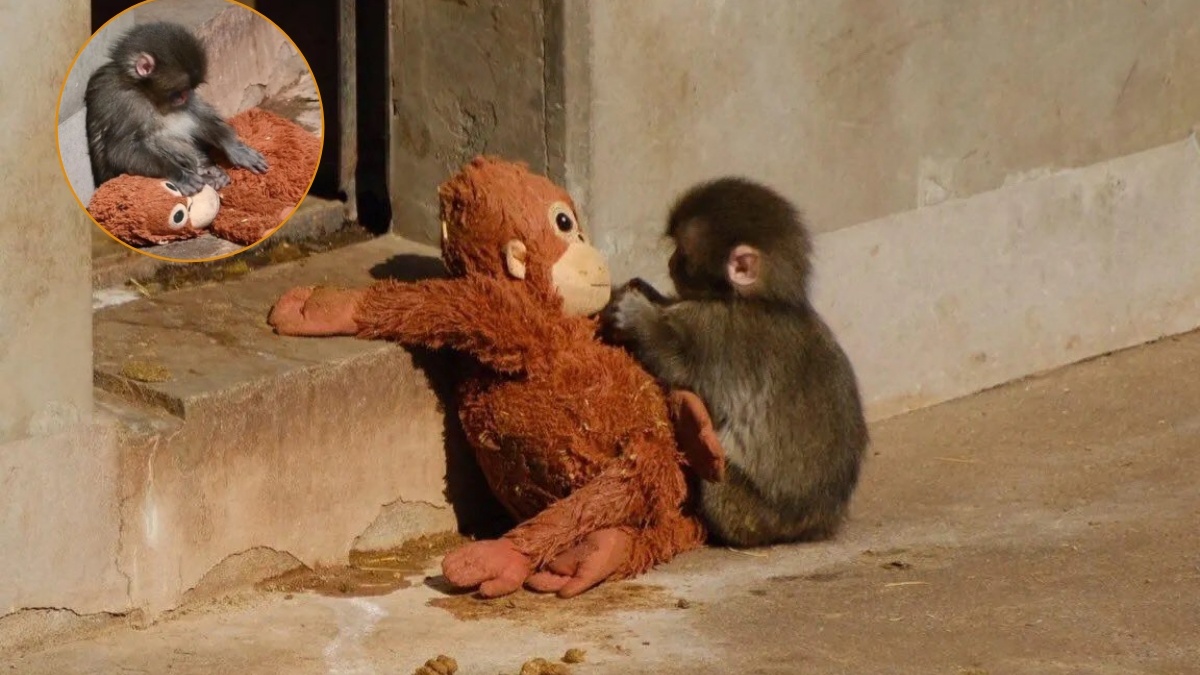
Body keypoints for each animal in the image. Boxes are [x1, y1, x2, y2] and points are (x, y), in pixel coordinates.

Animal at [84, 21, 268, 196]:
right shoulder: (124, 101)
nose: (185, 97)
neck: (143, 91)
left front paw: (234, 147)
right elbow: (121, 150)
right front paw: (179, 174)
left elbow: (197, 114)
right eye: (178, 92)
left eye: (189, 90)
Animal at [599, 177, 869, 548]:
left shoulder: (718, 331)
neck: (763, 300)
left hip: (748, 514)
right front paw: (648, 293)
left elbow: (679, 365)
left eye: (682, 253)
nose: (670, 262)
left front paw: (637, 316)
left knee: (716, 482)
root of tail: (815, 525)